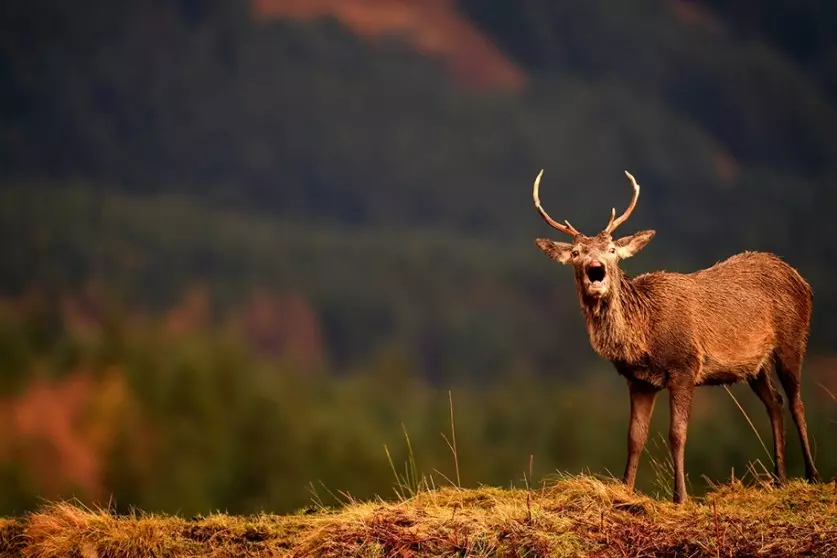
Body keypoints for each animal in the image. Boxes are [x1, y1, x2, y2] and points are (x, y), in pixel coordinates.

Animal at [532, 168, 820, 506]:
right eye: (576, 253)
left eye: (612, 250)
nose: (595, 267)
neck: (644, 336)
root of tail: (802, 281)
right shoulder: (638, 381)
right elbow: (634, 437)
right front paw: (625, 490)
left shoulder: (685, 366)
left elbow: (676, 433)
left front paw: (680, 496)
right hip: (755, 364)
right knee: (774, 402)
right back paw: (779, 479)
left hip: (793, 337)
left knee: (797, 402)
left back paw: (811, 475)